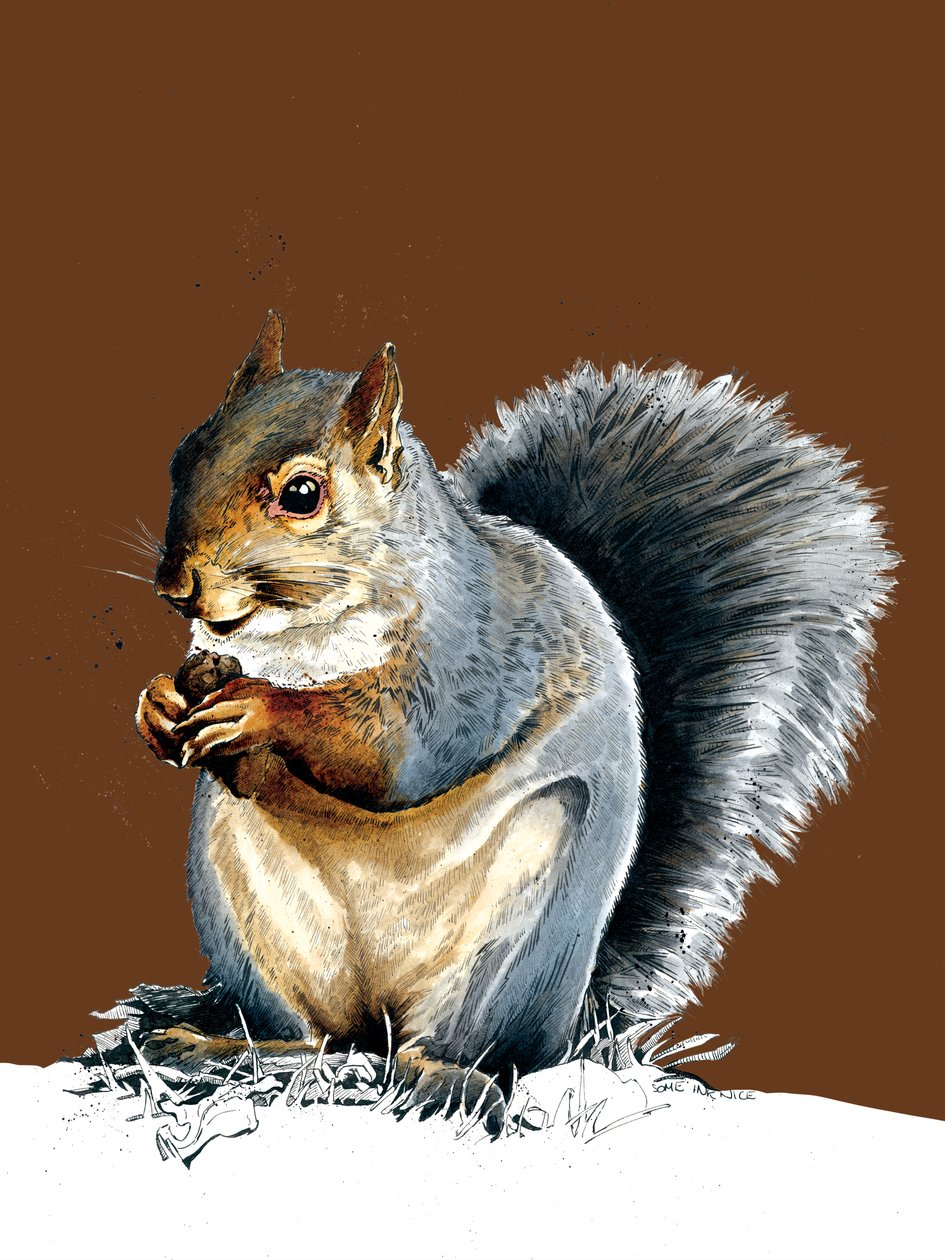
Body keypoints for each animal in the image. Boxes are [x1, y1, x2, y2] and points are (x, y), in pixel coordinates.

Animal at [135, 310, 897, 1125]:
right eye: (183, 452)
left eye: (303, 494)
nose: (176, 584)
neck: (298, 636)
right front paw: (157, 705)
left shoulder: (470, 661)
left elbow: (397, 752)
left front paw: (258, 707)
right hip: (250, 918)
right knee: (316, 1037)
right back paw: (221, 1047)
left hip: (519, 925)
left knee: (464, 1046)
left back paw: (443, 1079)